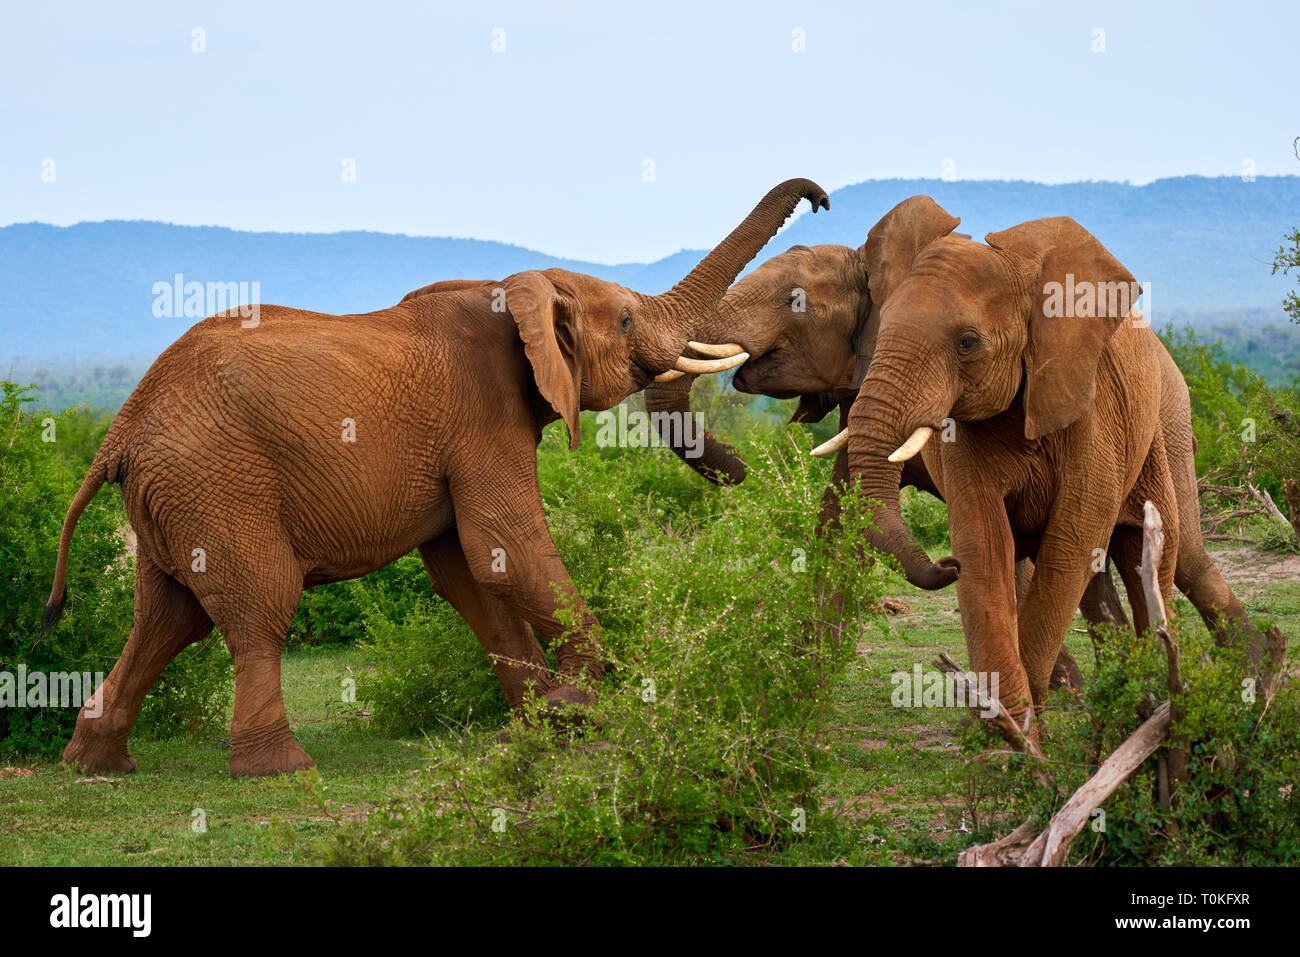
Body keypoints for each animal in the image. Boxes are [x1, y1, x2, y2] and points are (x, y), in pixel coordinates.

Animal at [44, 178, 830, 777]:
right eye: (630, 320)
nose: (820, 199)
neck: (519, 288)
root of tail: (119, 431)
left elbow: (469, 573)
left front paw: (544, 726)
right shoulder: (482, 416)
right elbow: (504, 545)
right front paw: (579, 711)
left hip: (177, 493)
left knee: (167, 617)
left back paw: (95, 764)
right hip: (217, 482)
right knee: (257, 604)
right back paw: (280, 769)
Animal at [643, 196, 1282, 703]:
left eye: (795, 302)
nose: (742, 469)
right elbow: (845, 522)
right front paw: (800, 689)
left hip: (1167, 414)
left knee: (1180, 548)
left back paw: (1248, 669)